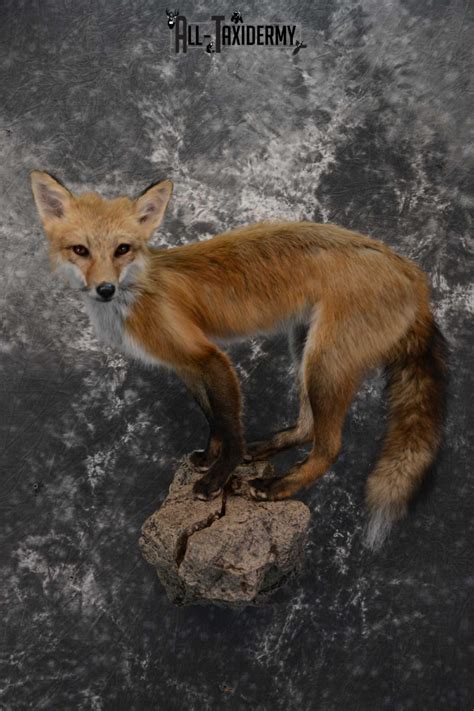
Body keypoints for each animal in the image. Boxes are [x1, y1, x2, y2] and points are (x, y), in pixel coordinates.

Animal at [30, 170, 448, 549]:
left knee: (330, 448)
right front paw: (208, 457)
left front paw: (216, 479)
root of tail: (413, 274)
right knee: (308, 427)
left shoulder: (209, 356)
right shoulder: (186, 365)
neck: (136, 293)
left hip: (326, 364)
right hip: (304, 349)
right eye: (80, 250)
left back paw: (278, 486)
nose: (105, 289)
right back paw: (267, 448)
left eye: (122, 249)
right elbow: (213, 416)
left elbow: (231, 426)